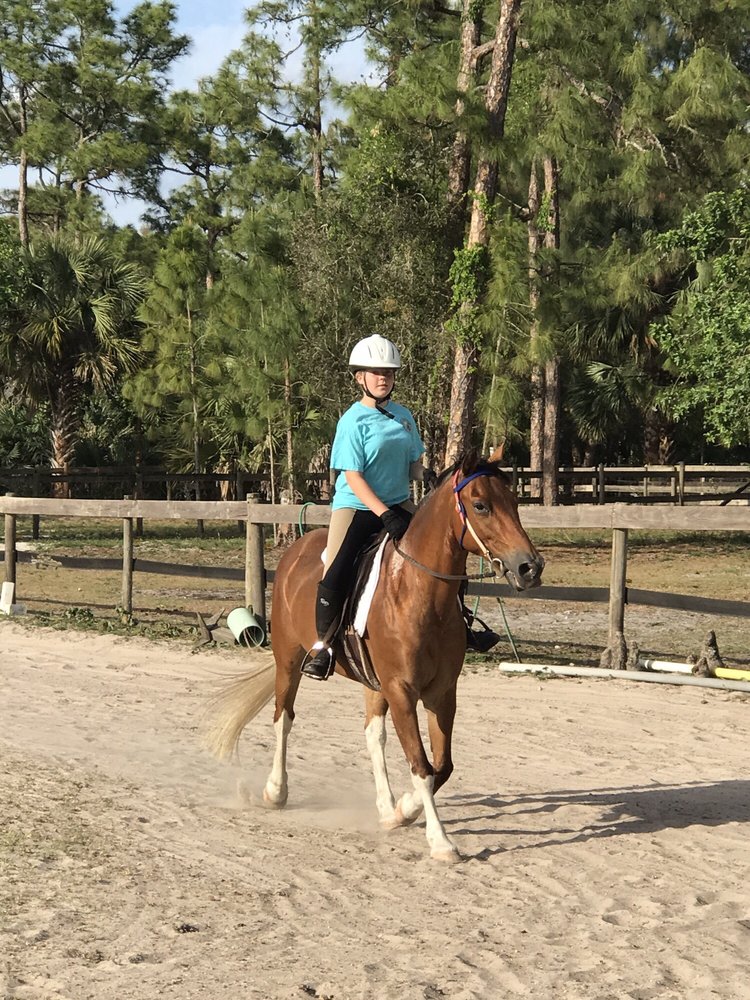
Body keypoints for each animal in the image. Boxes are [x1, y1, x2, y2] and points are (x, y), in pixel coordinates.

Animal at [205, 448, 544, 862]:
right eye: (480, 505)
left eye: (514, 502)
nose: (530, 568)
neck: (419, 593)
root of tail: (296, 549)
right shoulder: (401, 691)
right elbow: (421, 766)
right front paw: (441, 841)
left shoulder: (442, 693)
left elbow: (441, 765)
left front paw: (402, 810)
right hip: (289, 658)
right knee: (283, 717)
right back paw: (275, 791)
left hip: (372, 681)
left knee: (373, 734)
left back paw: (385, 806)